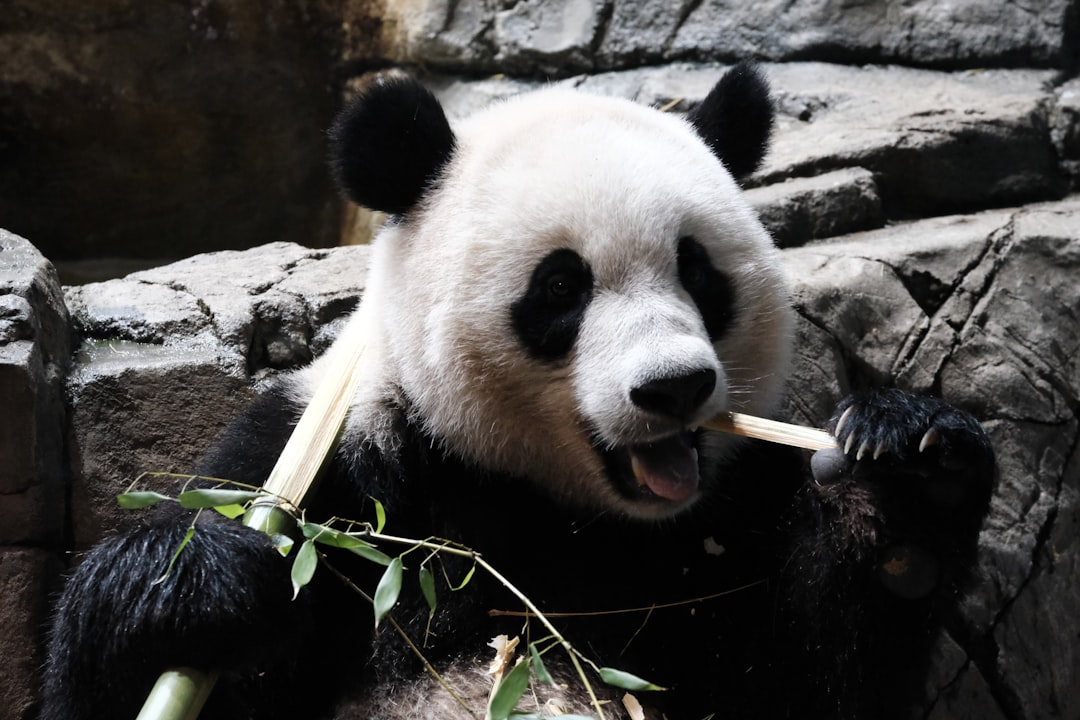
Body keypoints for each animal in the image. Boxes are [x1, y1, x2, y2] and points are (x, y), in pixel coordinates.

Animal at [40, 63, 995, 720]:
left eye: (698, 271)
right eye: (561, 288)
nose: (675, 387)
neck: (555, 506)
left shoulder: (728, 521)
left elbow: (804, 681)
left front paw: (906, 472)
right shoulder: (341, 474)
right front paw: (195, 584)